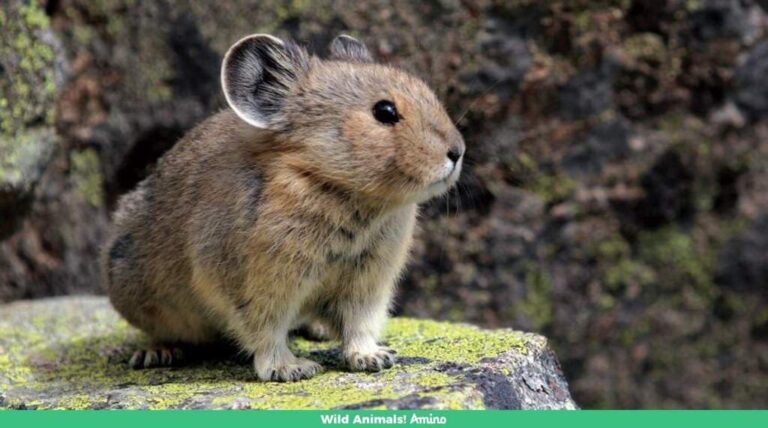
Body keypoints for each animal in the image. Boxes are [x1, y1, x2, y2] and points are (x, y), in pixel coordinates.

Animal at [101, 33, 465, 382]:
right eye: (385, 111)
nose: (457, 151)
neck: (330, 184)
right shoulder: (253, 283)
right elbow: (266, 330)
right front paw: (290, 369)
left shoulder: (368, 281)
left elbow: (359, 323)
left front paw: (373, 358)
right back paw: (157, 353)